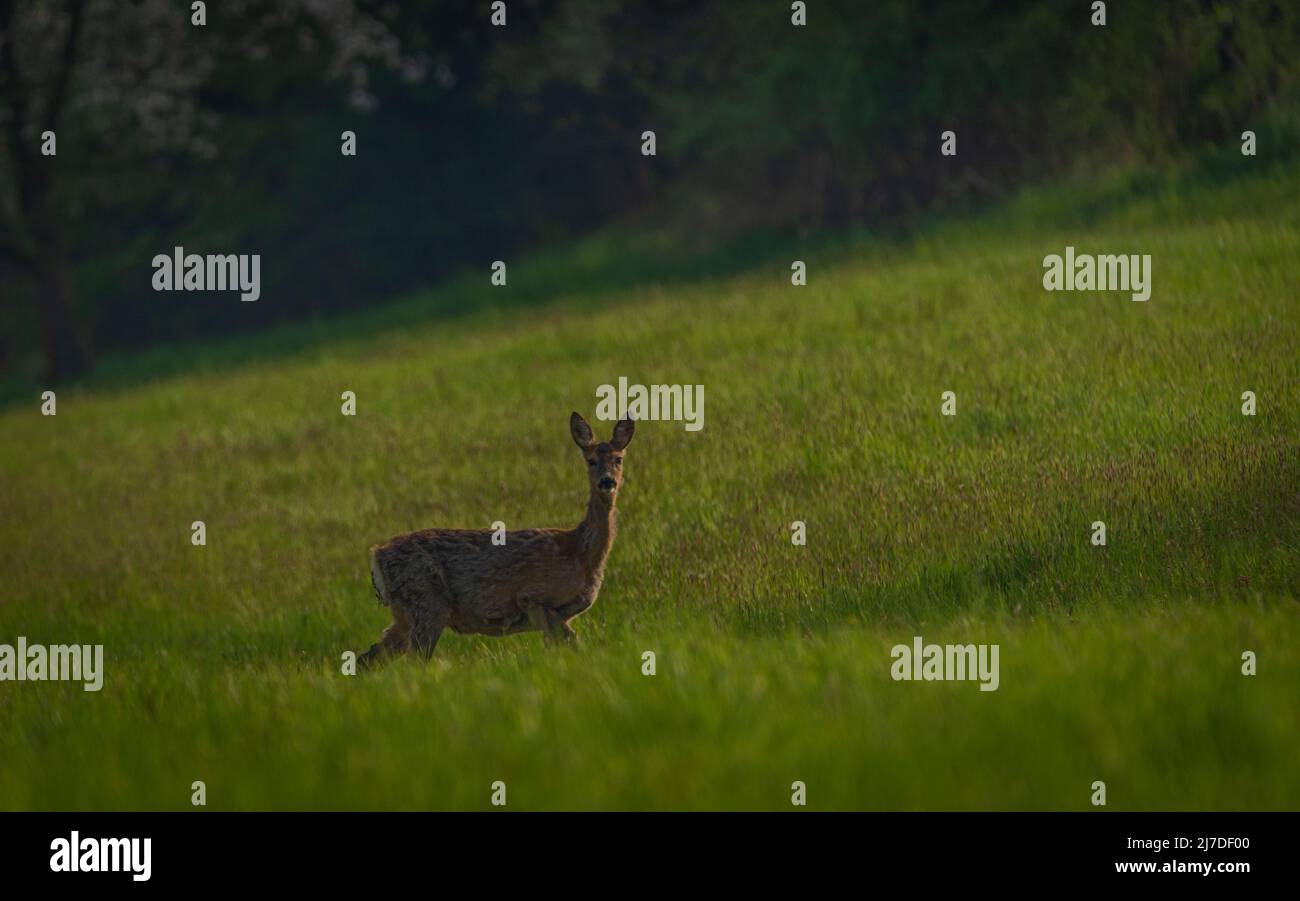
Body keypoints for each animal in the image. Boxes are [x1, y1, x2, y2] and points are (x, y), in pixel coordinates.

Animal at [357, 412, 635, 667]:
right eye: (591, 460)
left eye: (618, 459)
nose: (607, 481)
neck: (580, 553)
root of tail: (377, 555)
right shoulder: (533, 597)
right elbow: (574, 641)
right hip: (426, 603)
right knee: (414, 661)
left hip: (405, 613)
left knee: (369, 658)